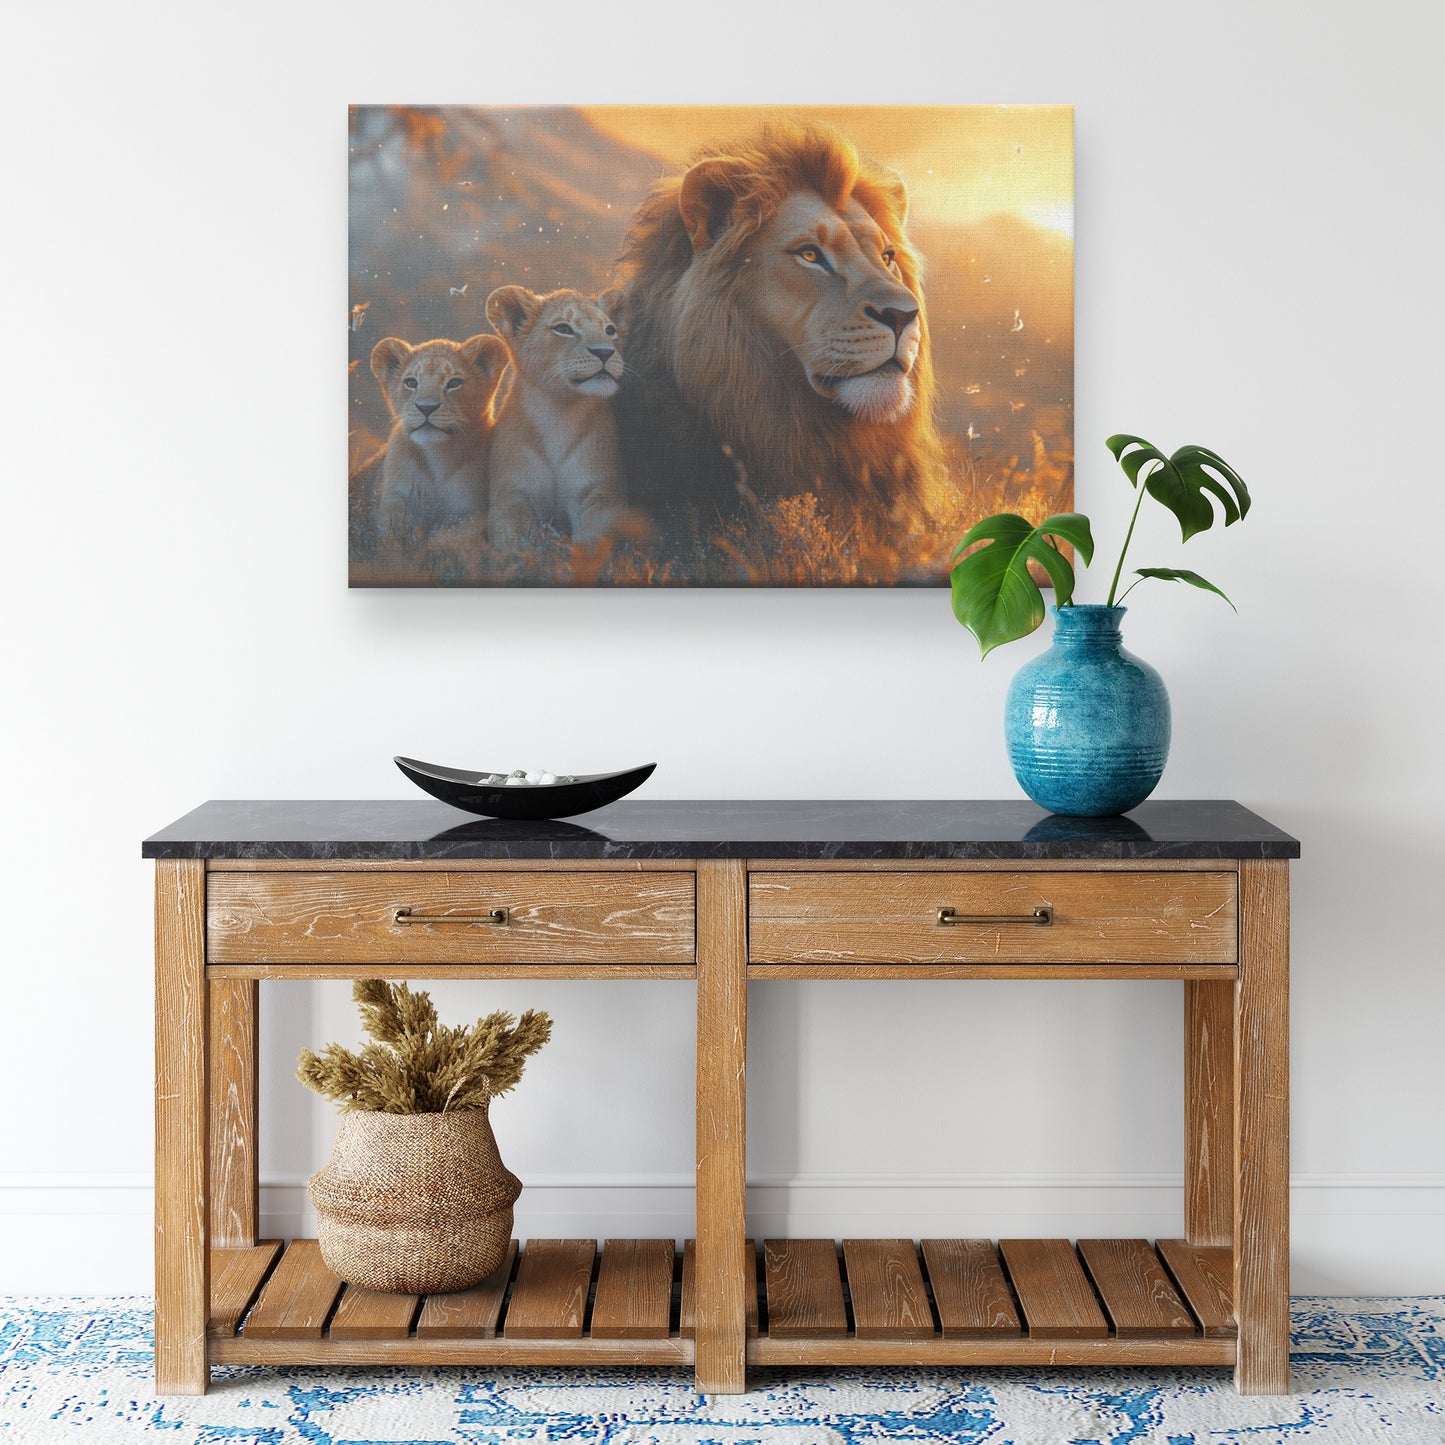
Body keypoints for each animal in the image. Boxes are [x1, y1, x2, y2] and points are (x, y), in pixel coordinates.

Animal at [367, 334, 509, 544]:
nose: (426, 407)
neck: (437, 457)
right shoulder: (394, 499)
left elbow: (452, 537)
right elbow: (394, 534)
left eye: (454, 382)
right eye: (411, 383)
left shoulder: (469, 510)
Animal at [483, 286, 627, 548]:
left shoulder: (601, 489)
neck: (559, 412)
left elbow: (597, 536)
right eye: (563, 328)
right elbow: (513, 533)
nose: (605, 352)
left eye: (609, 330)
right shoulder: (511, 491)